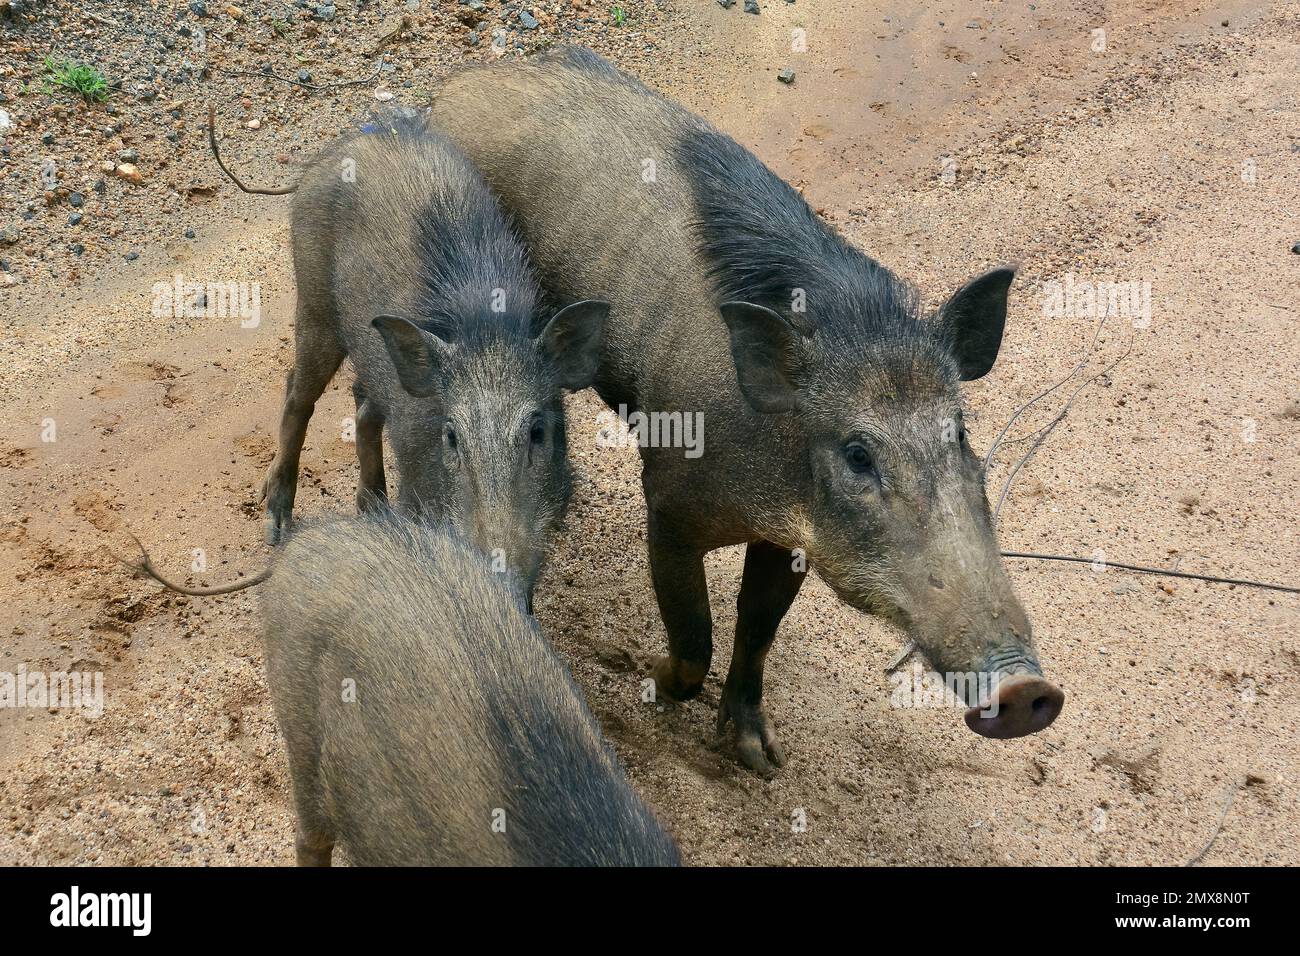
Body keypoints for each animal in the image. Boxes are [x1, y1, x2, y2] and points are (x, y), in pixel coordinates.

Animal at [209, 106, 607, 596]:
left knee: (363, 406)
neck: (487, 327)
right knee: (297, 395)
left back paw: (371, 508)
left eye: (537, 431)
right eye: (451, 436)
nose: (500, 575)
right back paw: (277, 523)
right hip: (315, 304)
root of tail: (351, 140)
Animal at [427, 48, 1065, 774]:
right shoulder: (669, 507)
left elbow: (757, 629)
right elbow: (696, 636)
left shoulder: (788, 541)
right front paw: (650, 680)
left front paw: (759, 757)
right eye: (857, 453)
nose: (1026, 689)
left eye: (958, 431)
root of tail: (459, 83)